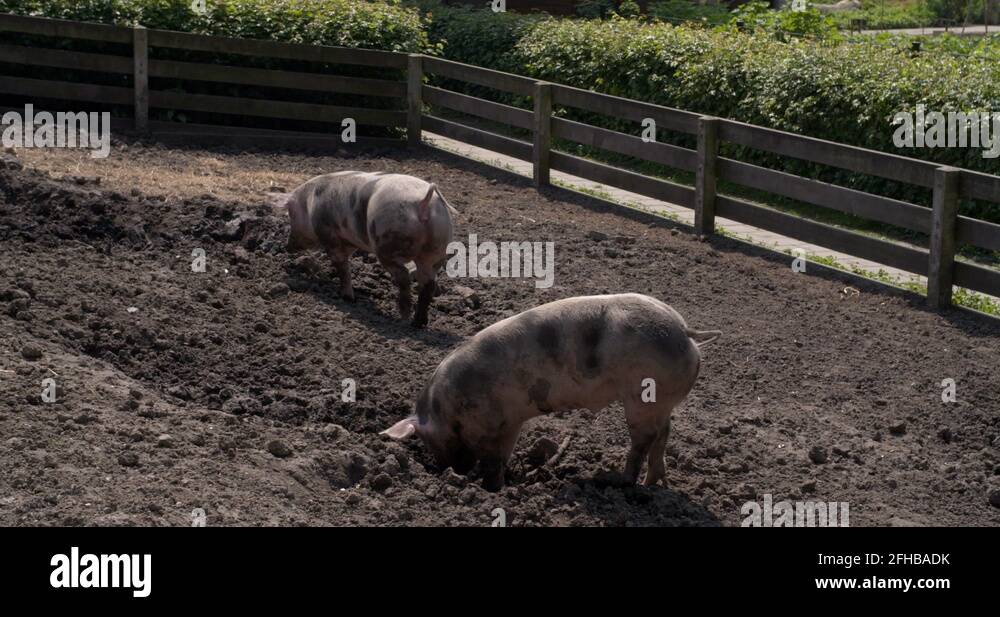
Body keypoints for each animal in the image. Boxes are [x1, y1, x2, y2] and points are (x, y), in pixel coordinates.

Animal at [279, 171, 457, 327]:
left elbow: (342, 266)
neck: (309, 204)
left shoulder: (329, 234)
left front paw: (347, 298)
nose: (286, 246)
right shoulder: (350, 240)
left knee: (404, 276)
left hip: (388, 243)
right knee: (428, 283)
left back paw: (403, 317)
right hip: (436, 248)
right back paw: (418, 323)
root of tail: (423, 202)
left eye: (291, 214)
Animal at [382, 293, 721, 490]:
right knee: (664, 434)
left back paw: (620, 484)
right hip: (661, 403)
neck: (446, 408)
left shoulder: (490, 423)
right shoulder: (511, 421)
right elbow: (503, 456)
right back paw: (653, 485)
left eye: (426, 441)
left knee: (644, 441)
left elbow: (493, 459)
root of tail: (685, 332)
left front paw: (490, 488)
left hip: (643, 398)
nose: (450, 471)